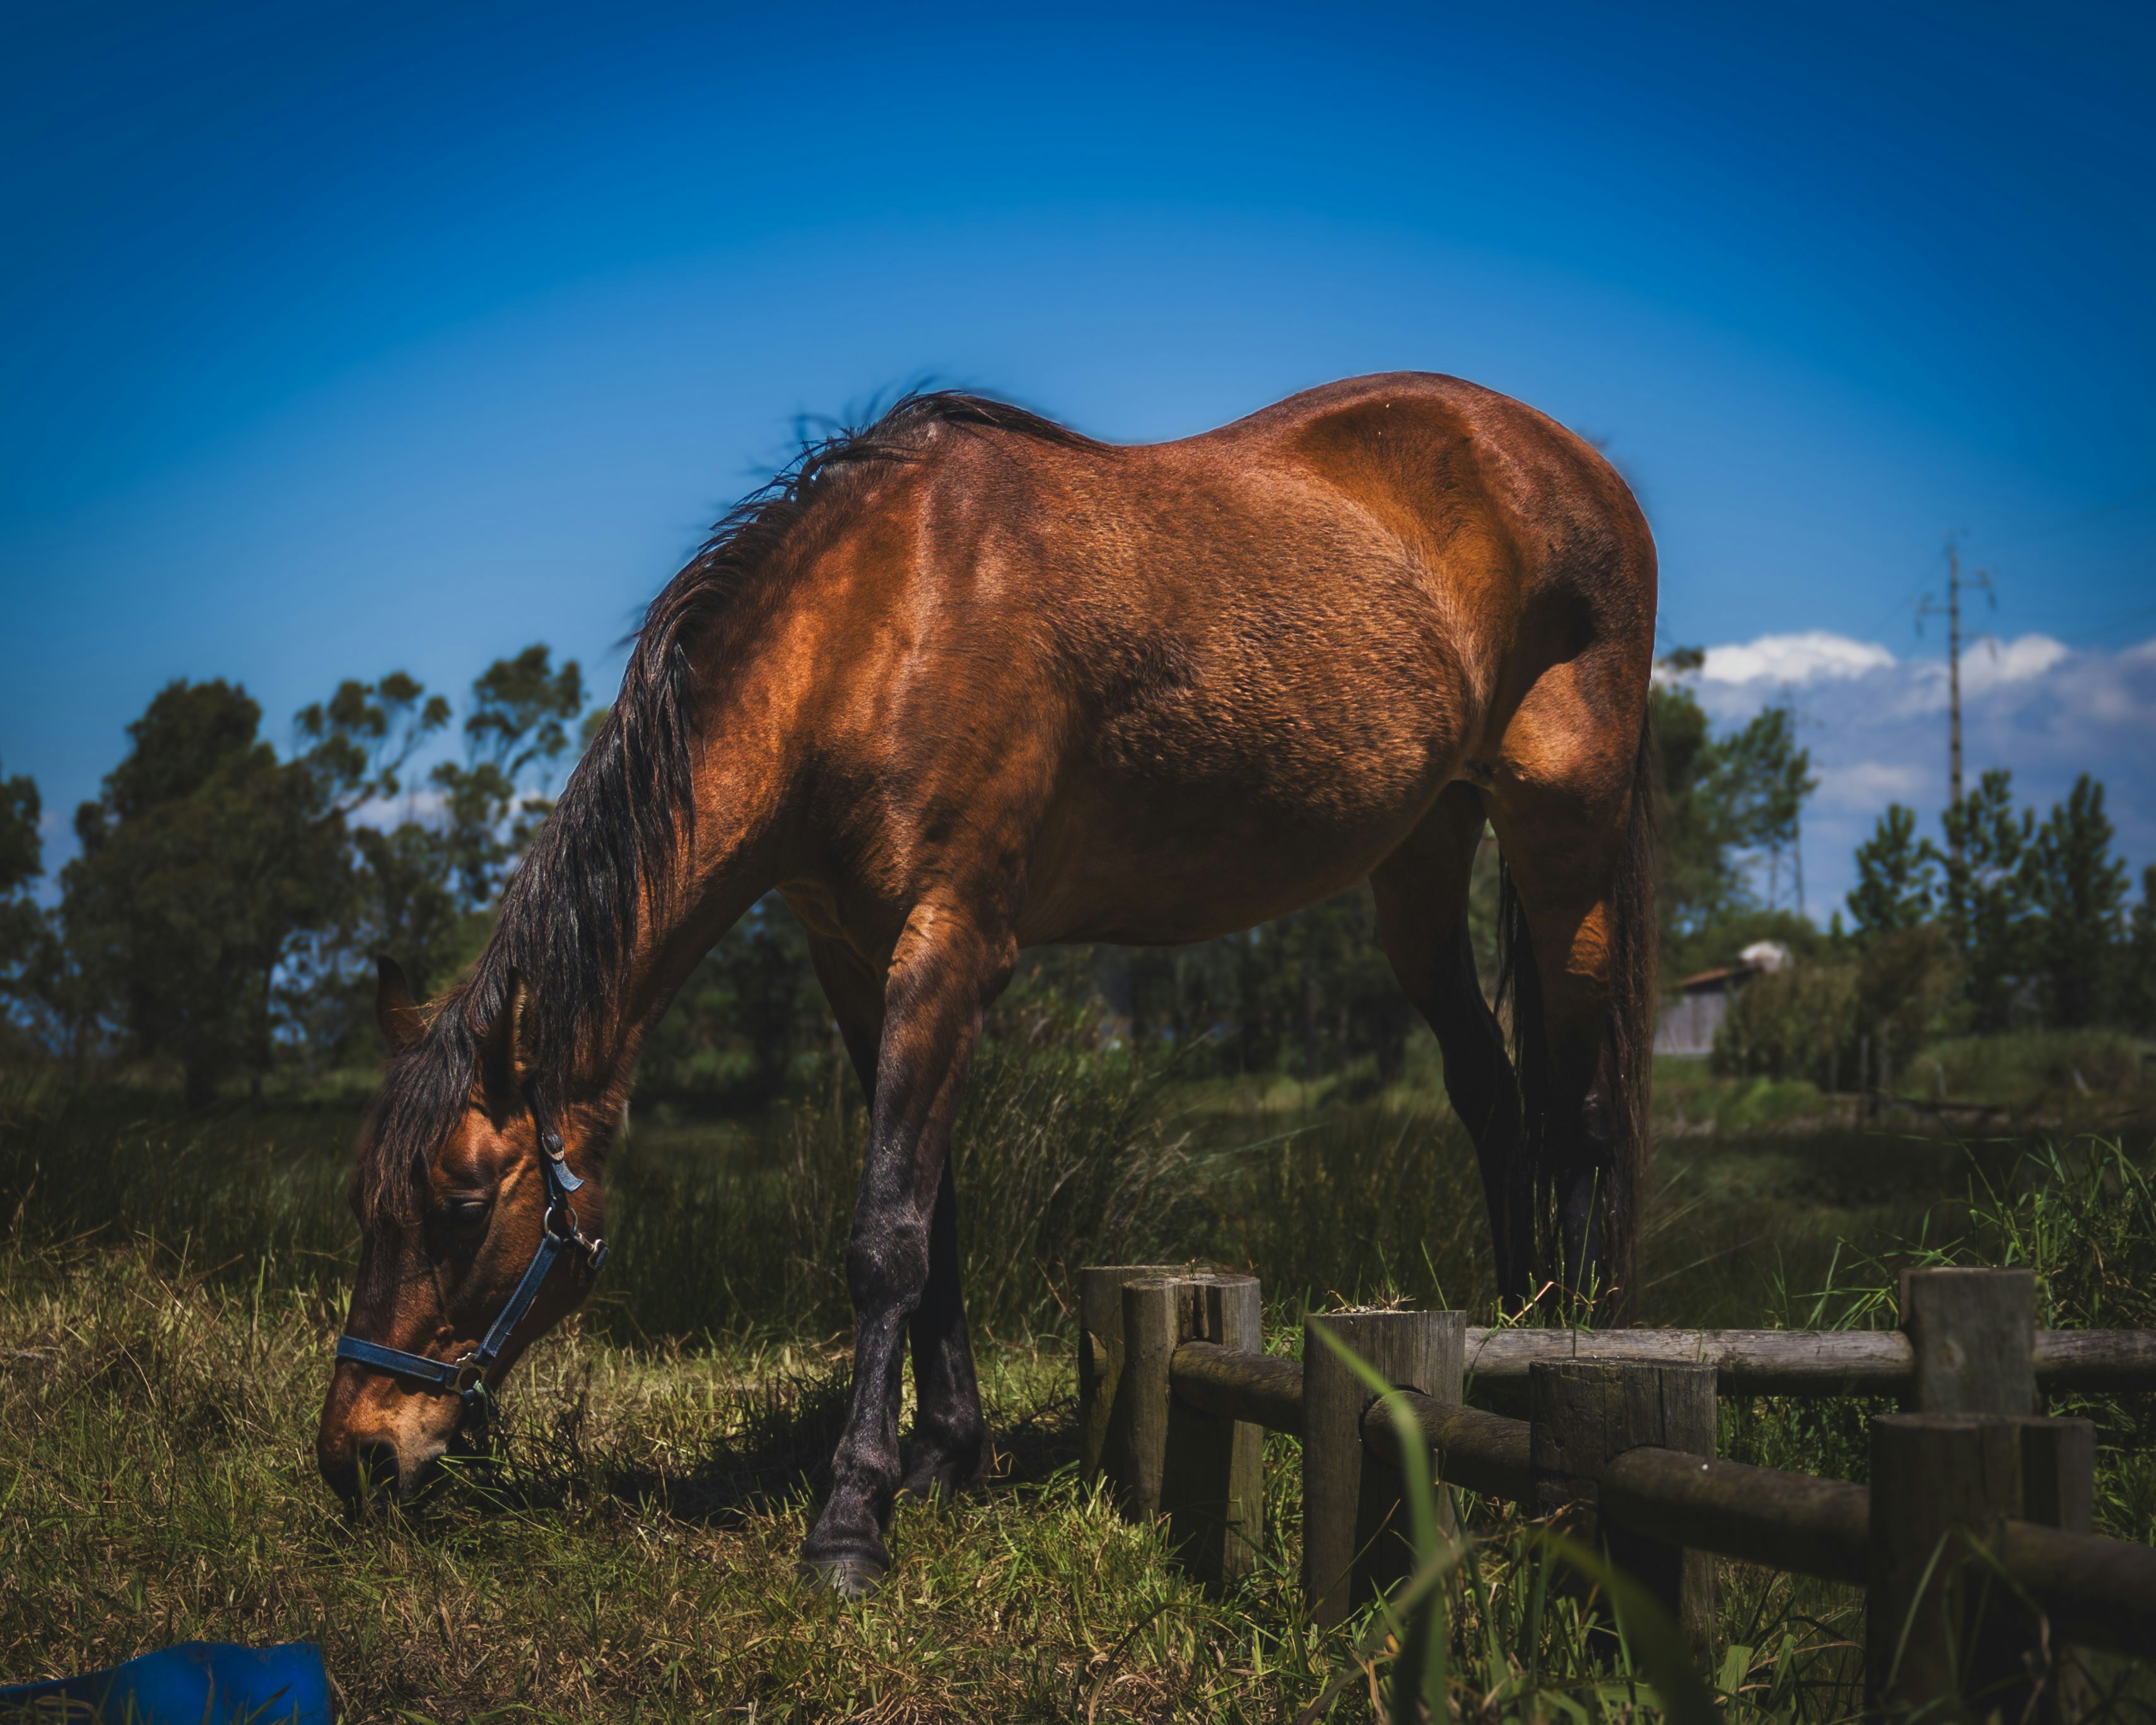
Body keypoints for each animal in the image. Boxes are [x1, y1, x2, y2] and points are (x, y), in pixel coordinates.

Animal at [316, 372, 1658, 1596]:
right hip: (1422, 858)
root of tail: (1564, 455)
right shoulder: (858, 961)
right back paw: (1508, 1323)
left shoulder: (952, 940)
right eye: (364, 1200)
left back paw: (1580, 1335)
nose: (353, 1452)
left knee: (1582, 1115)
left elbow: (885, 1237)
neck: (878, 622)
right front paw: (943, 1456)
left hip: (1565, 840)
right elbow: (937, 1222)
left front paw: (849, 1521)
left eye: (461, 1202)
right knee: (1495, 1102)